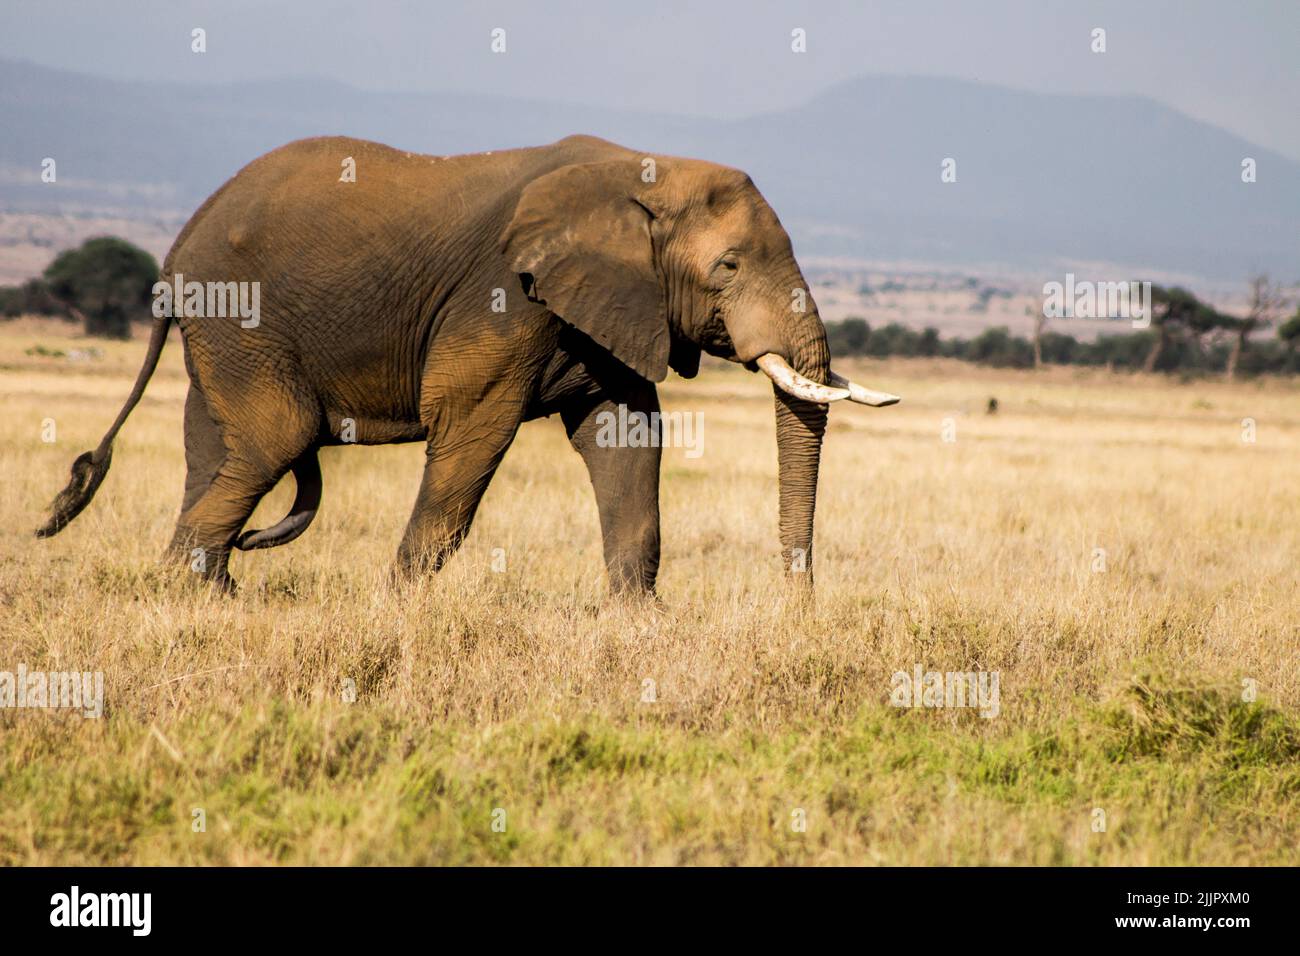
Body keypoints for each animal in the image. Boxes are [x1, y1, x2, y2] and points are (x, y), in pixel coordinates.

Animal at [36, 134, 898, 594]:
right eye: (726, 267)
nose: (798, 607)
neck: (641, 168)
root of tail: (179, 241)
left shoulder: (608, 306)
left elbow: (626, 440)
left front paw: (640, 623)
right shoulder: (502, 298)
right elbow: (470, 434)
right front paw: (393, 609)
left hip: (225, 331)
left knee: (215, 446)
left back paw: (205, 591)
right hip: (239, 313)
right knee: (277, 435)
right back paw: (187, 591)